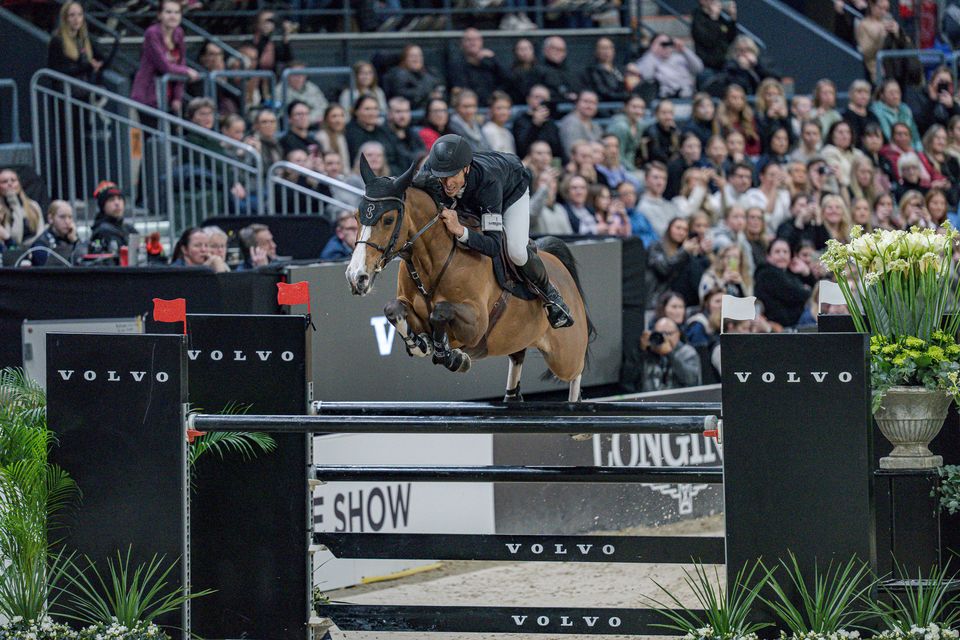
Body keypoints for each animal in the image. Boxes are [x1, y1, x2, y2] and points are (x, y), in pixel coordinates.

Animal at [345, 157, 594, 402]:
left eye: (388, 219)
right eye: (357, 216)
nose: (356, 276)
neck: (432, 261)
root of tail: (558, 264)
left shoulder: (476, 324)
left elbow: (440, 312)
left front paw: (453, 356)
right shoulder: (408, 306)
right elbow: (393, 309)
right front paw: (421, 344)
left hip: (565, 355)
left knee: (577, 372)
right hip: (519, 339)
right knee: (517, 359)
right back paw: (512, 396)